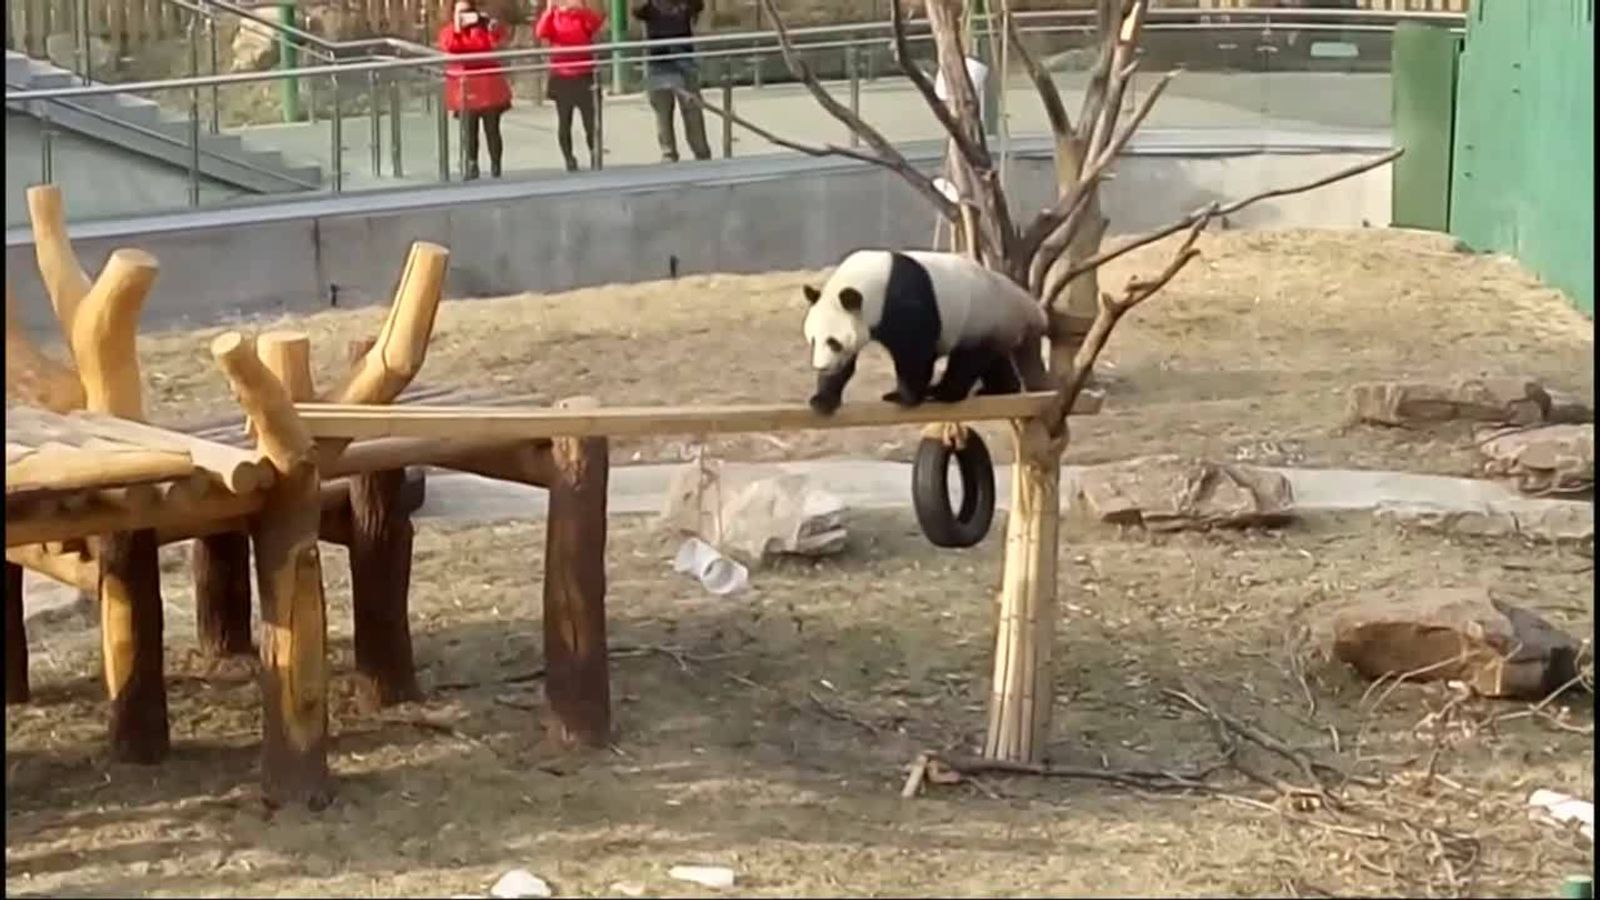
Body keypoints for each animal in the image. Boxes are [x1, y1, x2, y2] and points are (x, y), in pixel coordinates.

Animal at [801, 248, 1049, 415]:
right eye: (813, 340)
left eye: (833, 342)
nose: (821, 366)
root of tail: (1030, 309)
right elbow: (847, 364)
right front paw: (822, 399)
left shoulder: (903, 300)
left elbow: (914, 351)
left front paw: (903, 397)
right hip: (994, 325)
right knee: (993, 360)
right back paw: (1000, 389)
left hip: (980, 316)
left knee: (967, 360)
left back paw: (942, 393)